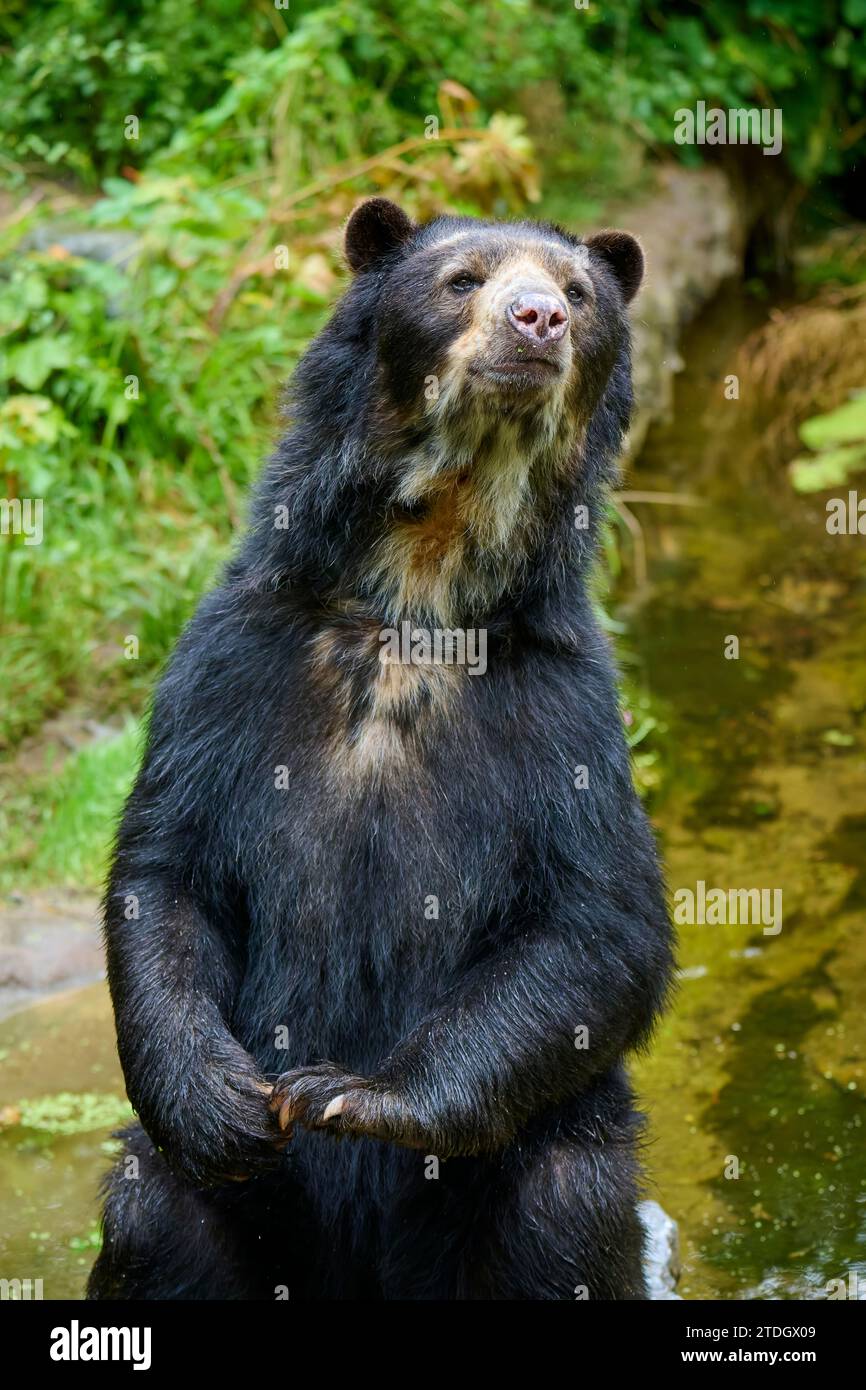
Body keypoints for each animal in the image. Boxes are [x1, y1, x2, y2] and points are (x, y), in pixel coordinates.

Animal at [87, 198, 674, 1301]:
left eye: (578, 294)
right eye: (463, 279)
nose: (536, 321)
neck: (419, 588)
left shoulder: (566, 709)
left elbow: (597, 924)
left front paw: (343, 1093)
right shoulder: (233, 660)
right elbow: (168, 870)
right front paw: (231, 1102)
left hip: (540, 1167)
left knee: (566, 1208)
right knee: (155, 1215)